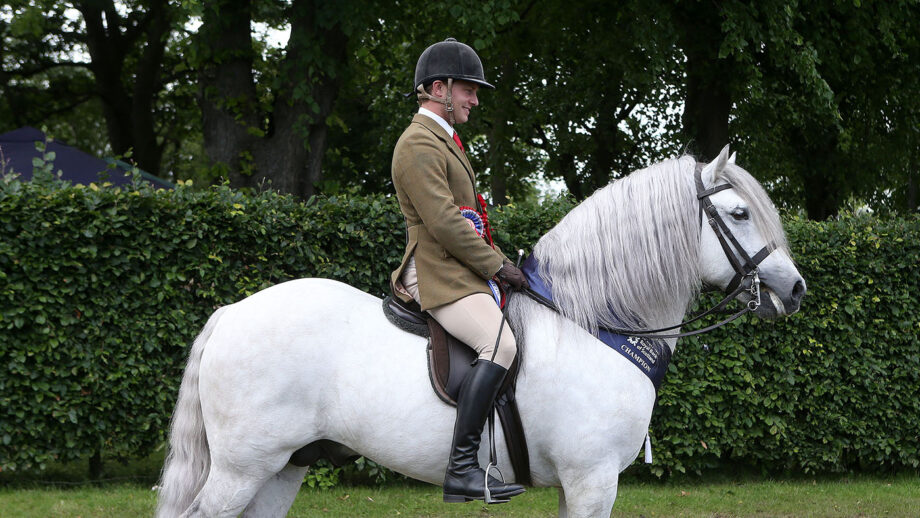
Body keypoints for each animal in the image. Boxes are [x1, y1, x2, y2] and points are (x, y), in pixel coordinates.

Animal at [155, 146, 806, 518]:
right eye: (740, 213)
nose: (795, 289)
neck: (594, 326)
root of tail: (233, 311)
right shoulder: (592, 482)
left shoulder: (578, 485)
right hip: (243, 468)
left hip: (283, 466)